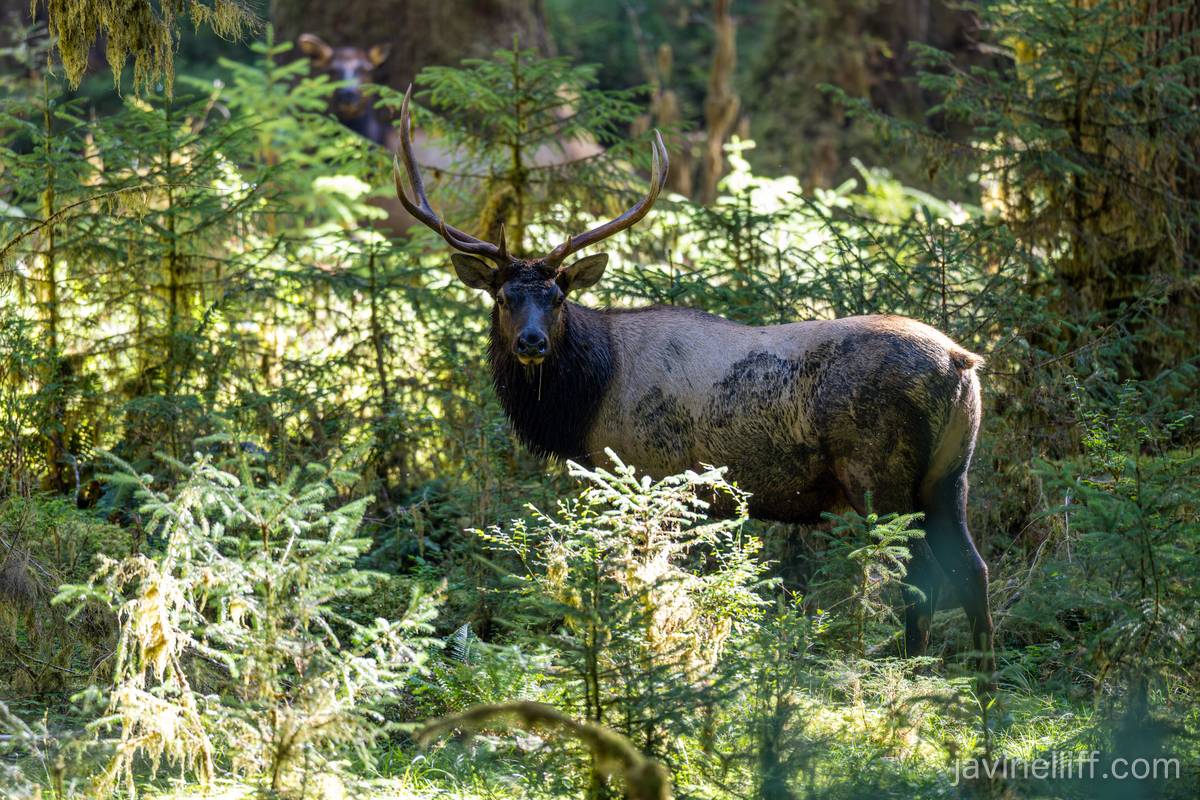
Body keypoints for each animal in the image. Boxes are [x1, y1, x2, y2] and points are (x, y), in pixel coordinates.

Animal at [391, 87, 995, 671]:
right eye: (503, 298)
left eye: (557, 297)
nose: (532, 343)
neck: (588, 398)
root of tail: (962, 364)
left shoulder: (649, 470)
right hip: (950, 475)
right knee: (973, 568)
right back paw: (981, 681)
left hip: (879, 471)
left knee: (922, 576)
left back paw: (911, 671)